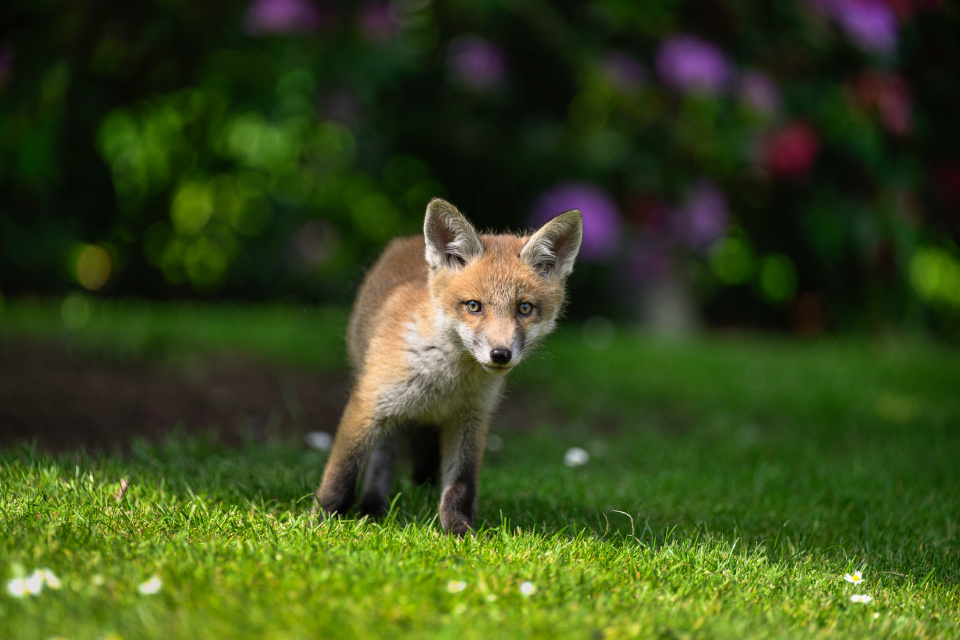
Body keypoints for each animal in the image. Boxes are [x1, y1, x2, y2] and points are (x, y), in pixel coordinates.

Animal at [314, 197, 583, 535]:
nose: (501, 354)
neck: (446, 383)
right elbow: (341, 475)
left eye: (524, 308)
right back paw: (373, 507)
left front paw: (459, 530)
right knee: (382, 458)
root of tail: (410, 239)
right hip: (386, 411)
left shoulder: (472, 419)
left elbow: (461, 484)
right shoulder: (367, 404)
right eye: (473, 306)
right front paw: (318, 522)